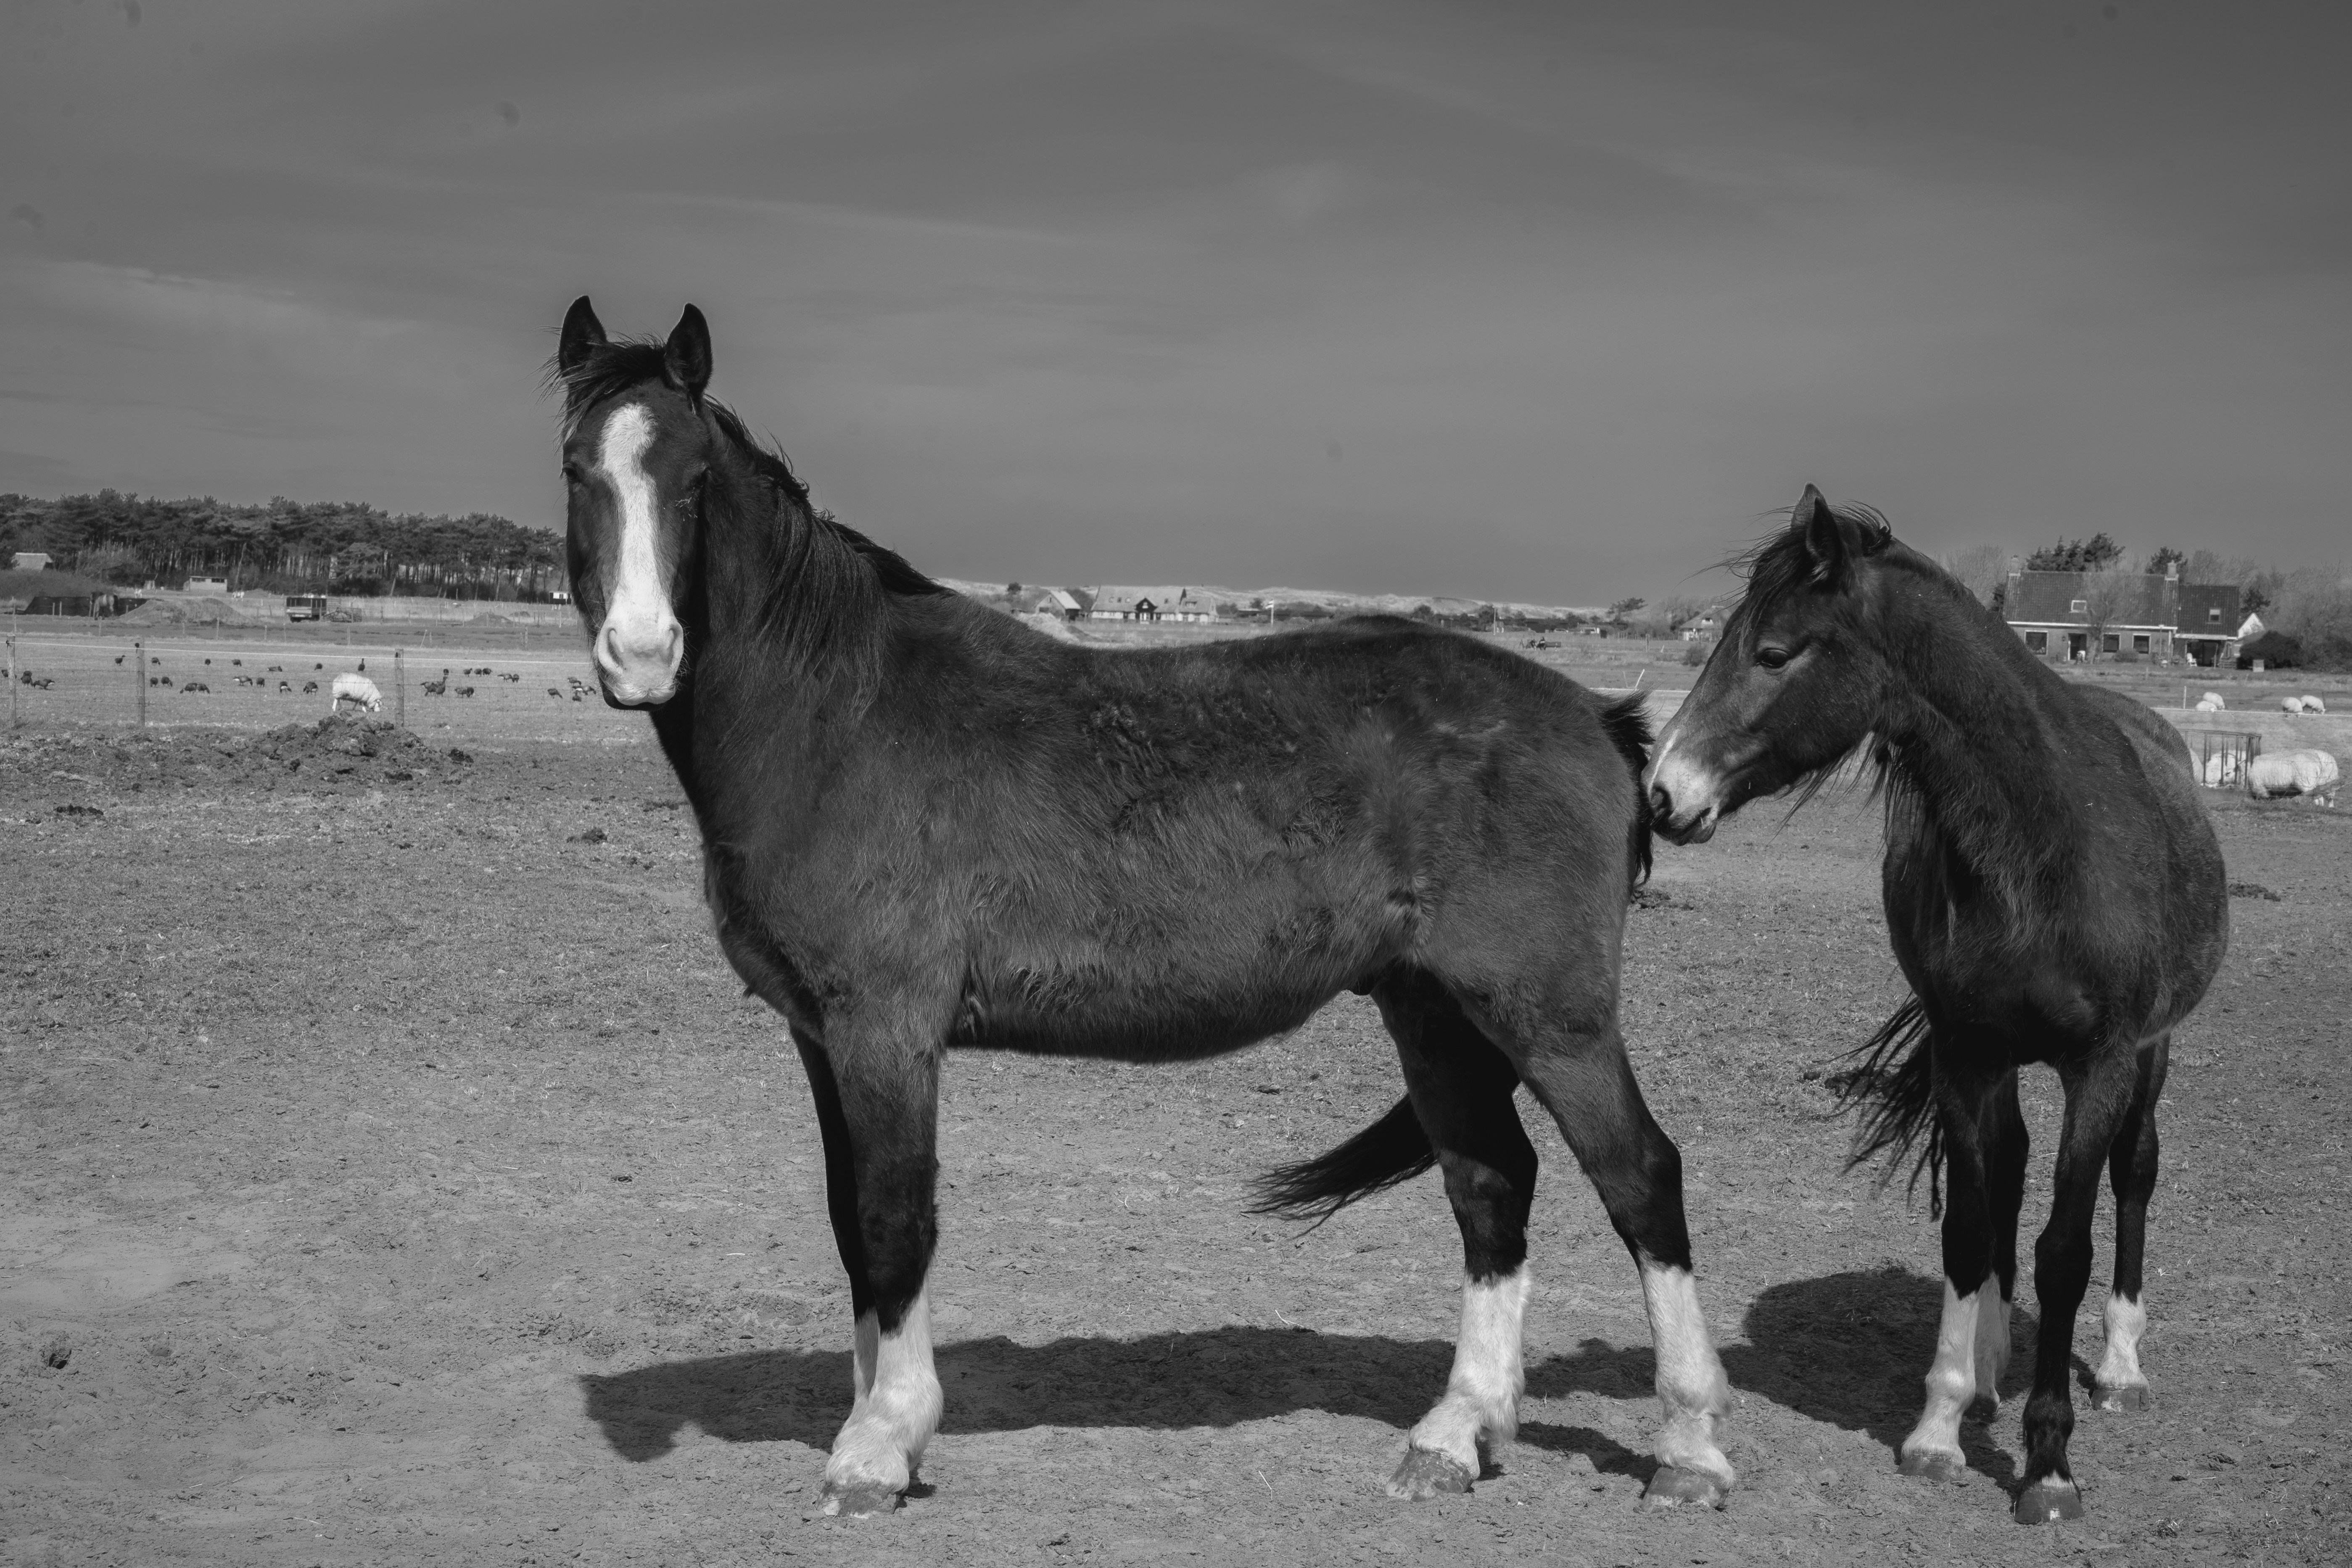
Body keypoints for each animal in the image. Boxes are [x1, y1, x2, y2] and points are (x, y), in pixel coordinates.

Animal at [548, 297, 1738, 1517]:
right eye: (577, 469)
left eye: (694, 481)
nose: (640, 655)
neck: (842, 714)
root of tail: (1595, 718)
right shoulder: (820, 1037)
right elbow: (849, 1223)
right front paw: (873, 1420)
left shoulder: (885, 1030)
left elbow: (894, 1219)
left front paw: (882, 1442)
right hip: (1435, 1010)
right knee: (1491, 1188)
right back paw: (1455, 1435)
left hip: (1548, 1015)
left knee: (1640, 1179)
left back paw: (1687, 1448)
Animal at [1643, 486, 2227, 1526]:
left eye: (1774, 652)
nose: (1665, 791)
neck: (2042, 842)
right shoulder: (1965, 1051)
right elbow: (1968, 1229)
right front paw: (1939, 1425)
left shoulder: (2102, 1064)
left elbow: (2065, 1248)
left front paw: (2048, 1463)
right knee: (2006, 1175)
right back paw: (1991, 1367)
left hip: (2152, 1057)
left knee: (2135, 1175)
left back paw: (2119, 1366)